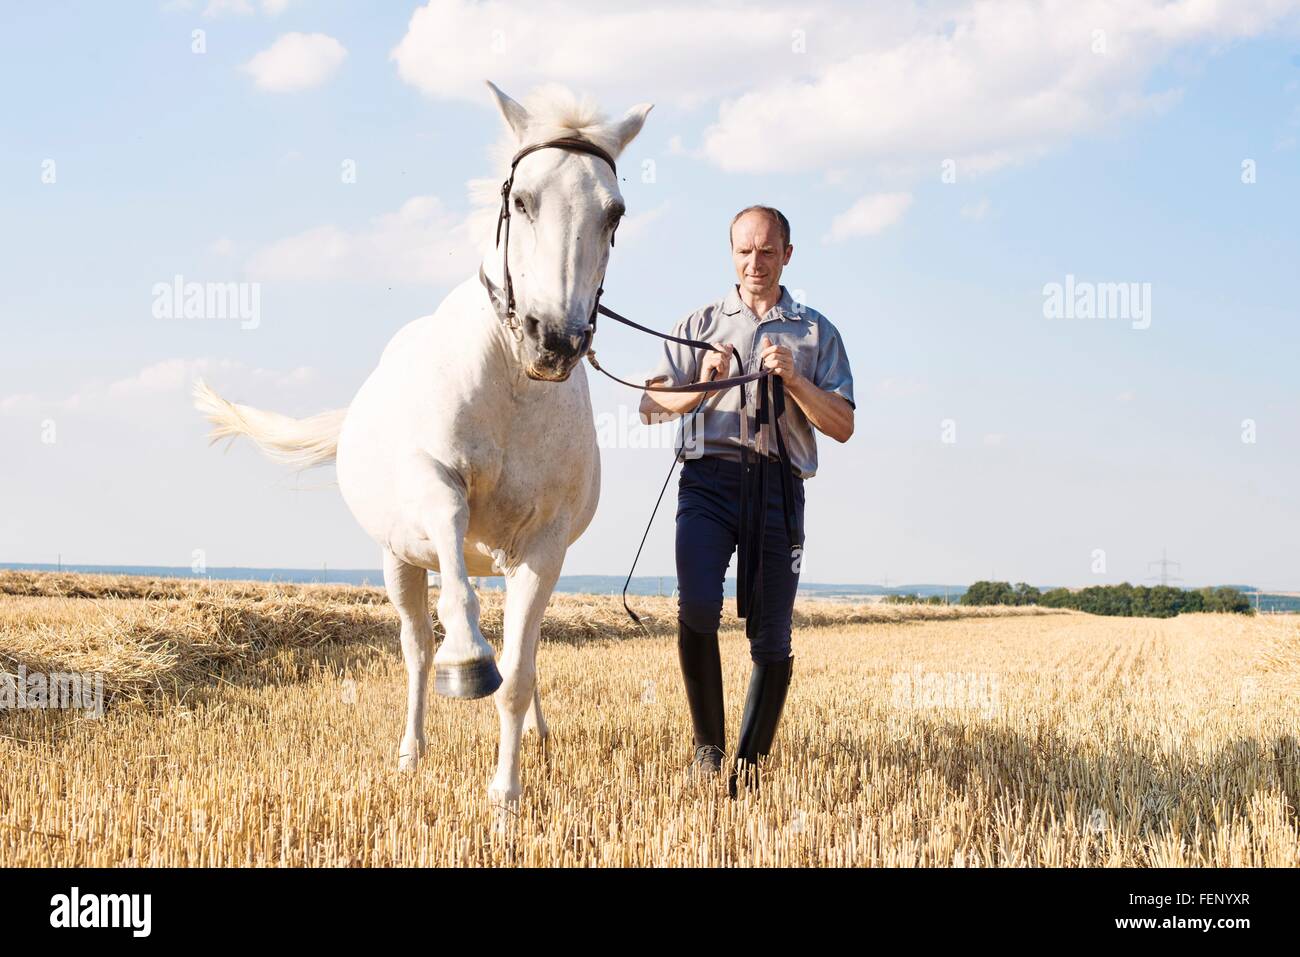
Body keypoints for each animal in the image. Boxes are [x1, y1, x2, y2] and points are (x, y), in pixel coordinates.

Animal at [194, 82, 652, 809]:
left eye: (614, 212)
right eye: (522, 200)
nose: (552, 340)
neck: (509, 380)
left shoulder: (543, 546)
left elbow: (519, 674)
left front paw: (506, 795)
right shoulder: (435, 490)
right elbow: (453, 585)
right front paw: (467, 661)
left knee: (525, 652)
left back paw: (539, 734)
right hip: (398, 559)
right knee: (415, 648)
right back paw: (412, 750)